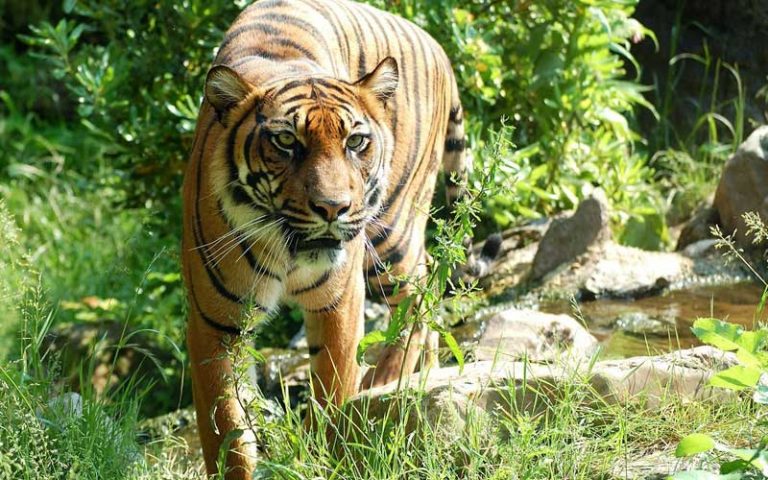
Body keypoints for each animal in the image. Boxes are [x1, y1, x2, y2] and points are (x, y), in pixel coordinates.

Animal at [181, 0, 469, 476]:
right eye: (285, 141)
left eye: (355, 141)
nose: (333, 208)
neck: (287, 252)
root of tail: (436, 44)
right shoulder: (214, 323)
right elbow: (226, 429)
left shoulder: (339, 302)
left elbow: (333, 391)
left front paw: (328, 455)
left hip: (390, 232)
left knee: (418, 292)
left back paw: (387, 379)